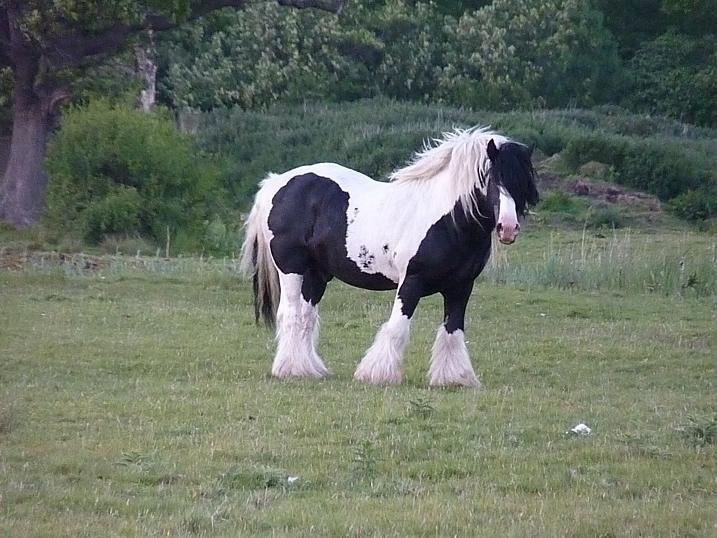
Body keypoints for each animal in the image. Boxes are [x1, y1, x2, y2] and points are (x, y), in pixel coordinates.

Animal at [239, 127, 539, 387]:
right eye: (492, 179)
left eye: (523, 184)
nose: (507, 228)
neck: (449, 221)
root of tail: (275, 183)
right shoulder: (412, 282)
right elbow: (397, 327)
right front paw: (377, 374)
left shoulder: (461, 287)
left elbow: (453, 331)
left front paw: (455, 378)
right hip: (292, 268)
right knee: (291, 314)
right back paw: (291, 370)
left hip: (317, 275)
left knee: (306, 317)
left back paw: (309, 369)